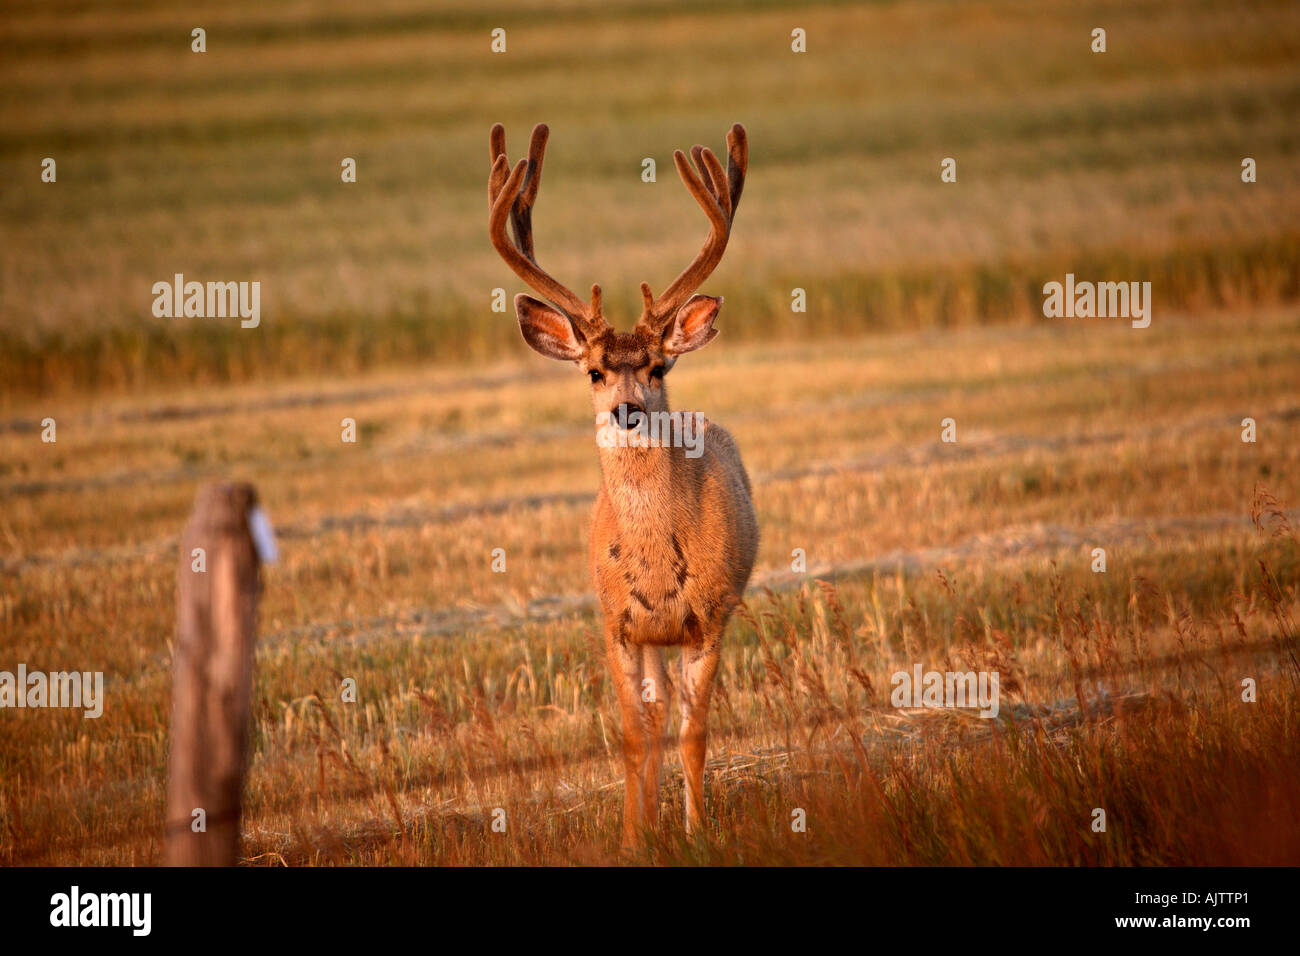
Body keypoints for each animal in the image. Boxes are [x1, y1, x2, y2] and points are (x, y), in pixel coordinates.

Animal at [487, 122, 757, 848]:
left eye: (659, 365)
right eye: (594, 371)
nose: (627, 409)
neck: (657, 567)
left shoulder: (708, 618)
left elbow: (695, 734)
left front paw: (697, 832)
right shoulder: (615, 623)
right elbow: (635, 735)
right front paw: (636, 836)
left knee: (676, 715)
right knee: (655, 714)